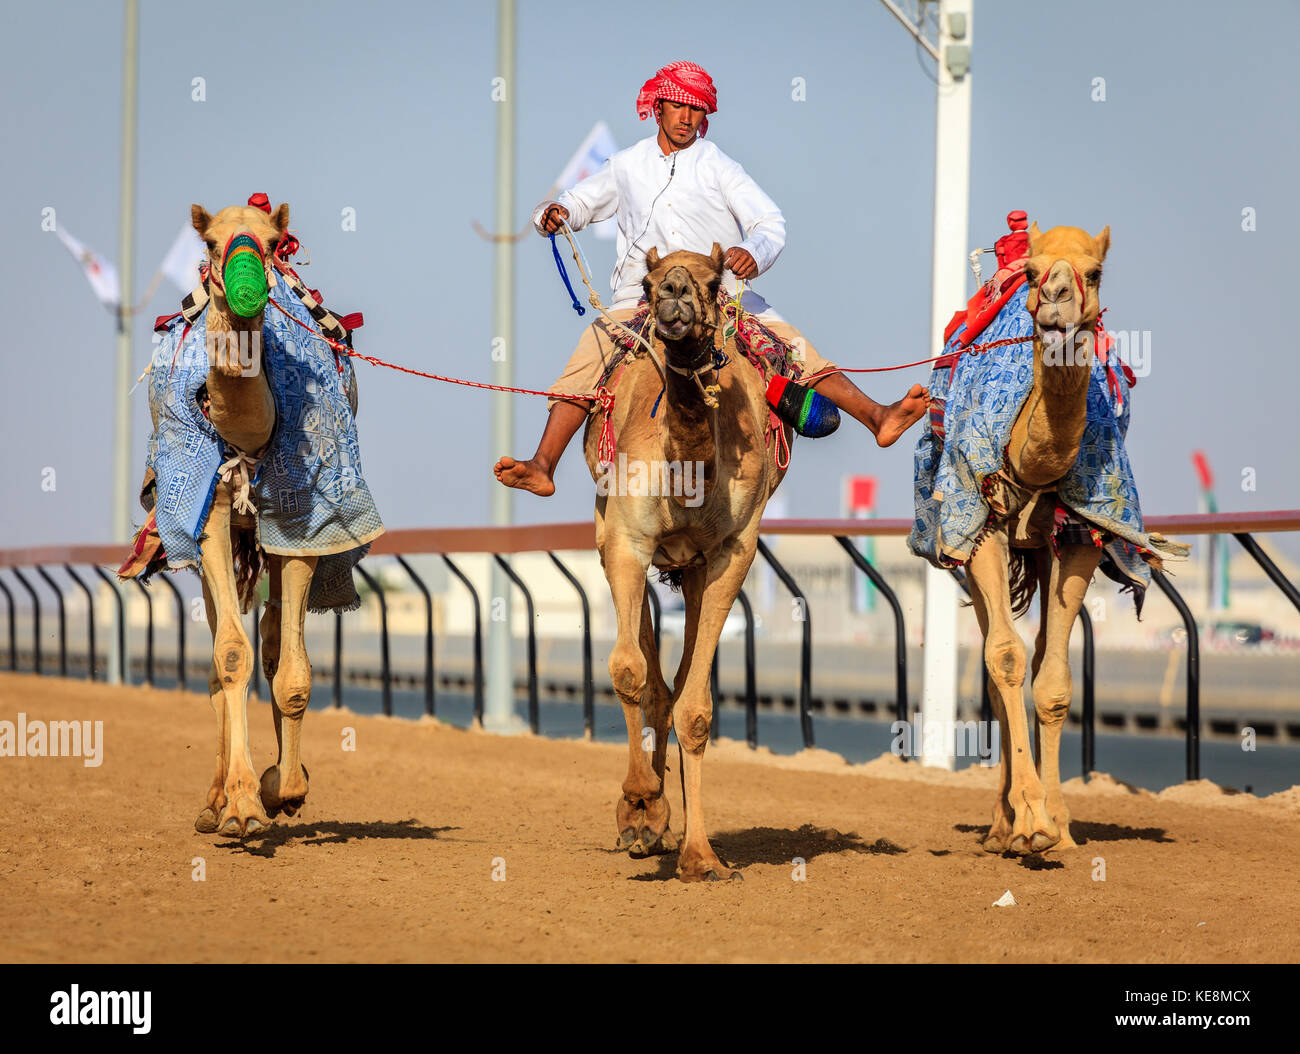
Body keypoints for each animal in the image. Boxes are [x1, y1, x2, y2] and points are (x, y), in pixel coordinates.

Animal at [584, 244, 787, 882]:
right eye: (648, 286)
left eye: (715, 280)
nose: (675, 291)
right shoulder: (625, 539)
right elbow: (628, 670)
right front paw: (640, 800)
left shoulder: (731, 552)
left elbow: (695, 707)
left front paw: (701, 859)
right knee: (649, 670)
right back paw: (643, 816)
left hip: (694, 568)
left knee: (674, 684)